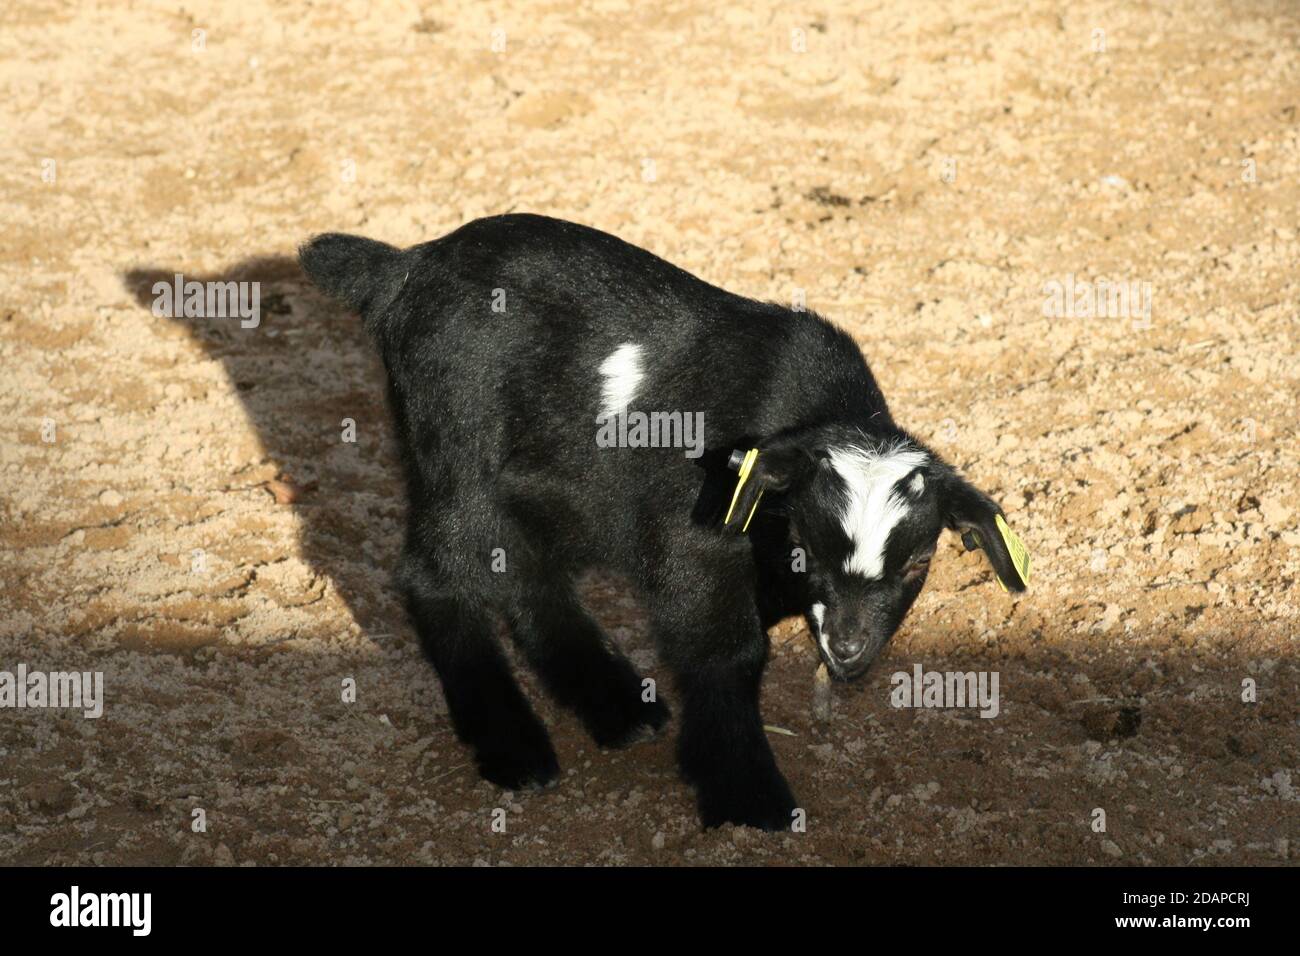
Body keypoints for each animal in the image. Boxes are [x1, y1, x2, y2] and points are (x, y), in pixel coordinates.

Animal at [299, 214, 1027, 830]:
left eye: (918, 562)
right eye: (806, 549)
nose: (849, 648)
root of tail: (406, 267)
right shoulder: (695, 541)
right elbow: (728, 651)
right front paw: (748, 794)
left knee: (526, 569)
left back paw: (618, 705)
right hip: (455, 446)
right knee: (439, 574)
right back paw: (514, 747)